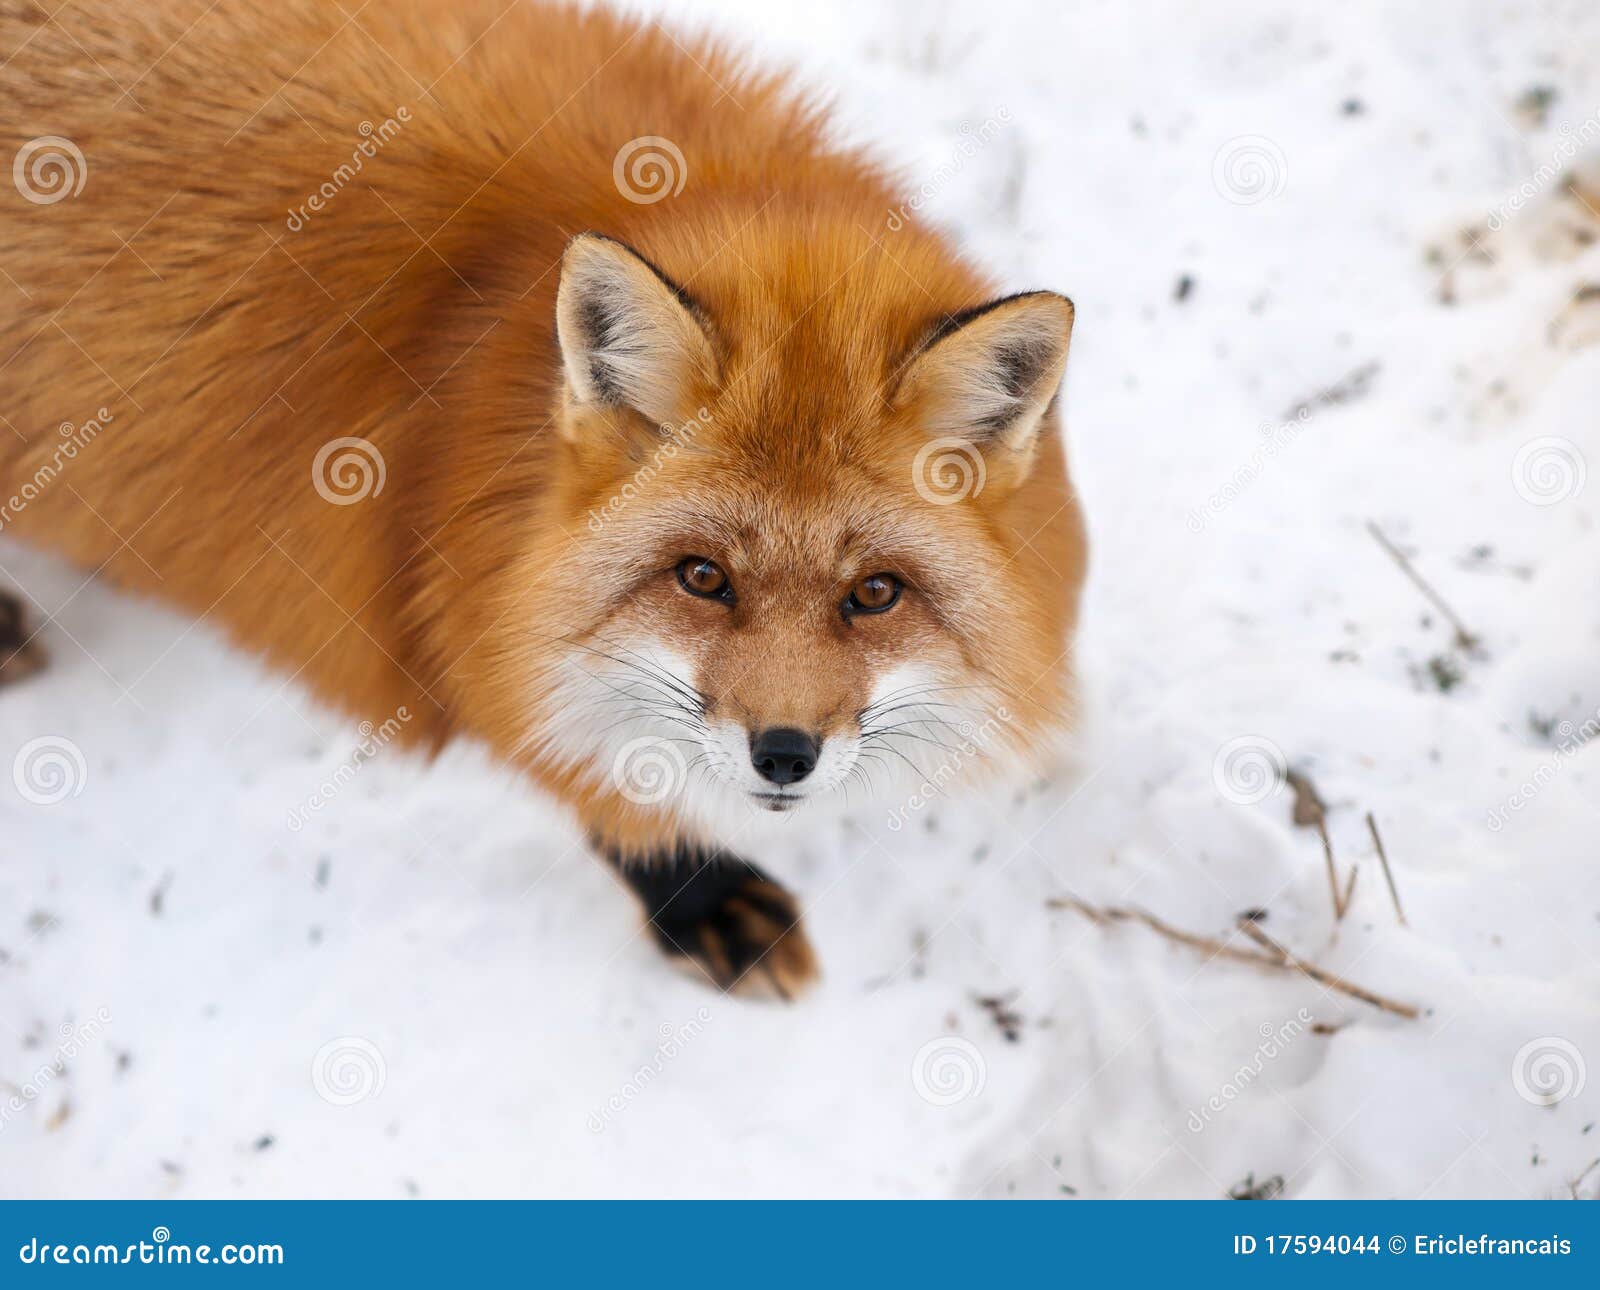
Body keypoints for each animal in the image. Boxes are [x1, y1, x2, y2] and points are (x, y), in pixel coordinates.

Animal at [0, 0, 1086, 998]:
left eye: (875, 594)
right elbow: (588, 774)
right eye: (701, 577)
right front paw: (694, 899)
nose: (784, 756)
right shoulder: (458, 615)